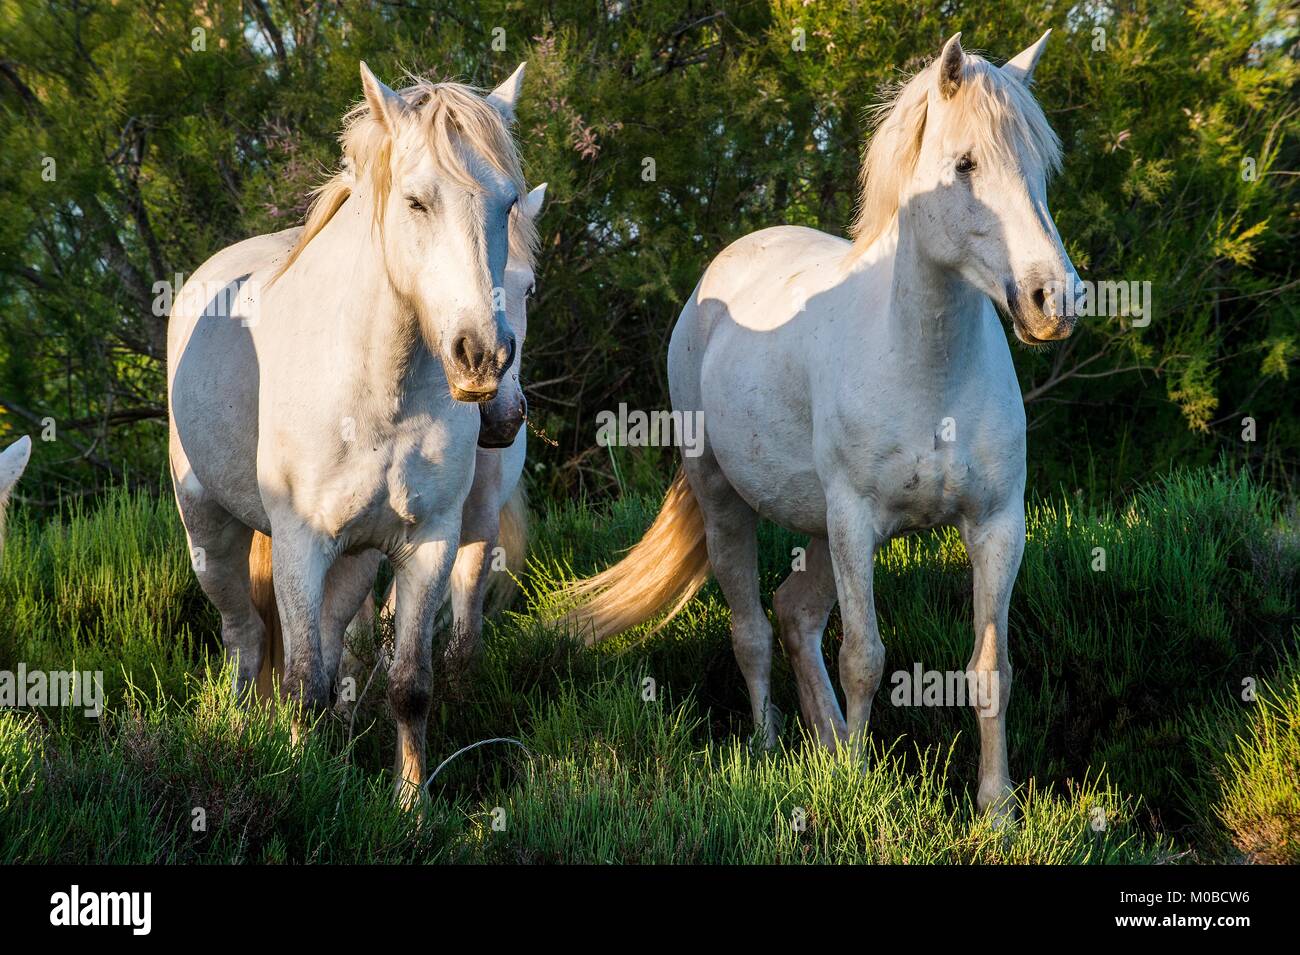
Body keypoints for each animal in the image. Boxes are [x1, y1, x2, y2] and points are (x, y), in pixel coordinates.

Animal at [168, 61, 537, 802]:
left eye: (507, 202)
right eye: (417, 202)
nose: (481, 356)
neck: (378, 393)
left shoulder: (429, 542)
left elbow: (409, 684)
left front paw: (410, 802)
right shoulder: (299, 544)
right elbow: (302, 683)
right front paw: (299, 783)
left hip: (357, 556)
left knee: (337, 643)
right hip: (209, 534)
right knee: (246, 637)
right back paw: (243, 729)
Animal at [554, 32, 1077, 821]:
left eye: (1041, 166)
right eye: (965, 164)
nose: (1055, 300)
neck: (927, 371)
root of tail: (716, 278)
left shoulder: (995, 524)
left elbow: (991, 667)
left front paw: (998, 812)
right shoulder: (856, 521)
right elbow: (863, 656)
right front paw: (860, 798)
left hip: (819, 529)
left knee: (794, 616)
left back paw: (829, 749)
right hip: (729, 504)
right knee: (752, 629)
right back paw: (775, 750)